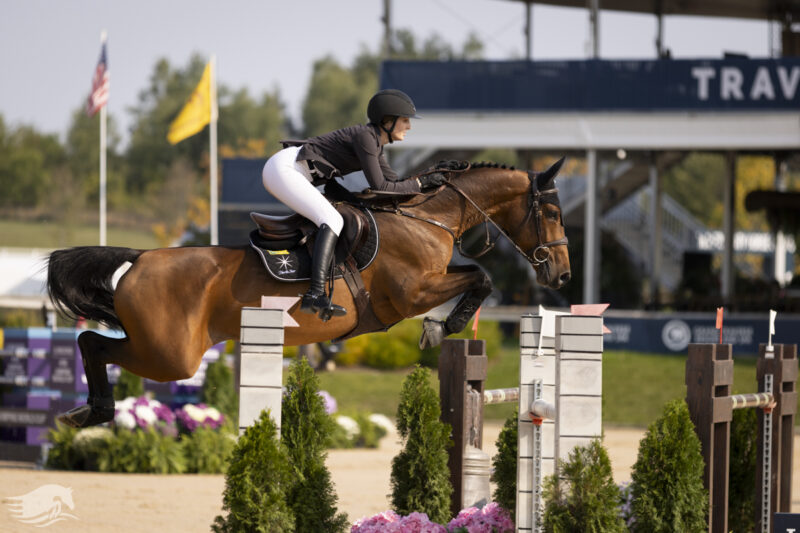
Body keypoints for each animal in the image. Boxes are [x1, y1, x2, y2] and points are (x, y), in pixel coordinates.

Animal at [46, 158, 571, 428]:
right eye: (552, 213)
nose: (563, 276)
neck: (426, 217)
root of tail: (140, 258)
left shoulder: (431, 280)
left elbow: (476, 275)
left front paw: (443, 326)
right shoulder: (412, 292)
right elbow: (481, 277)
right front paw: (442, 327)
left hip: (165, 350)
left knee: (91, 342)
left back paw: (88, 412)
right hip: (171, 355)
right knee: (93, 343)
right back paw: (94, 411)